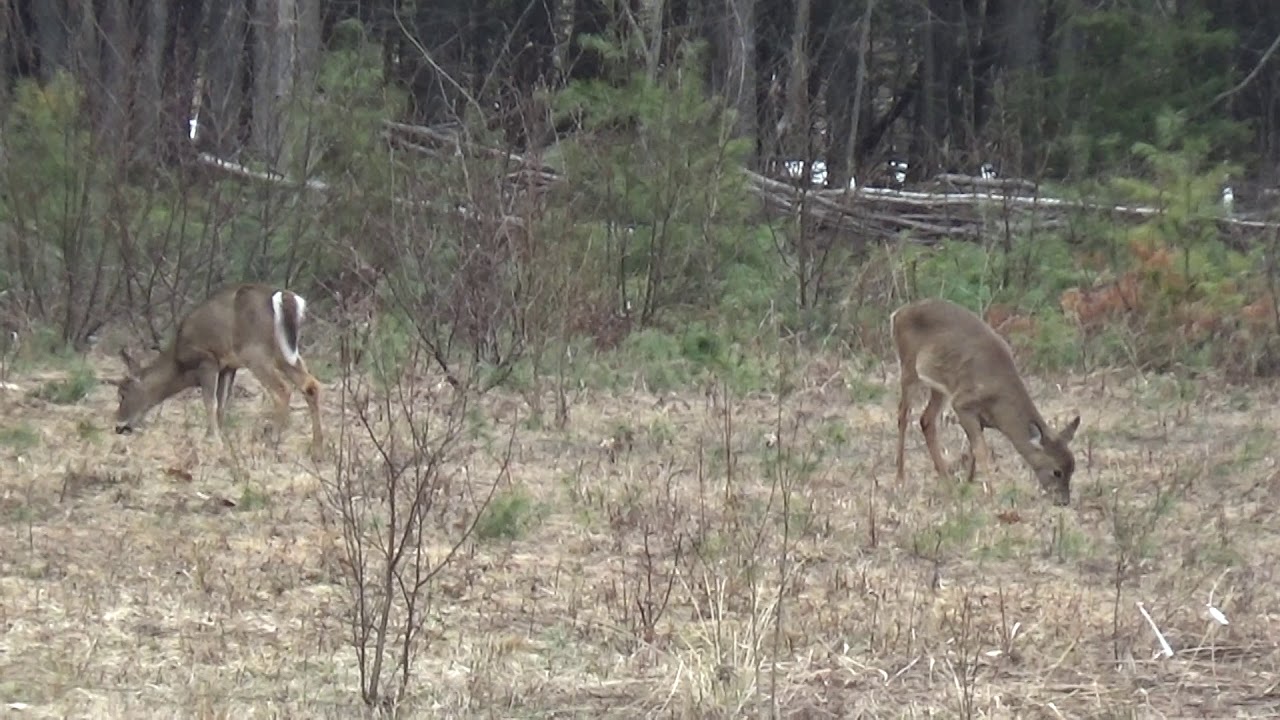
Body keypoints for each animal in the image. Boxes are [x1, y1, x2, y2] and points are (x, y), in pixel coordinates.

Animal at [110, 283, 324, 461]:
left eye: (123, 394)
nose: (119, 426)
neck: (179, 364)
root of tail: (285, 298)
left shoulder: (207, 360)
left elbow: (210, 402)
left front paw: (213, 440)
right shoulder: (228, 366)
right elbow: (222, 404)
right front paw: (218, 437)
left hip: (255, 351)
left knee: (282, 390)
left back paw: (271, 442)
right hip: (284, 352)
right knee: (310, 385)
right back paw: (316, 450)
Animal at [890, 298, 1080, 505]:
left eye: (1073, 468)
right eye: (1057, 471)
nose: (1064, 501)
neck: (999, 403)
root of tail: (898, 313)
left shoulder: (978, 415)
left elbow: (973, 451)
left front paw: (969, 483)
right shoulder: (962, 403)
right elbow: (981, 450)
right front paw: (990, 492)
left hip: (939, 384)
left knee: (926, 420)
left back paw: (946, 480)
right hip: (909, 366)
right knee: (903, 415)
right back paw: (900, 479)